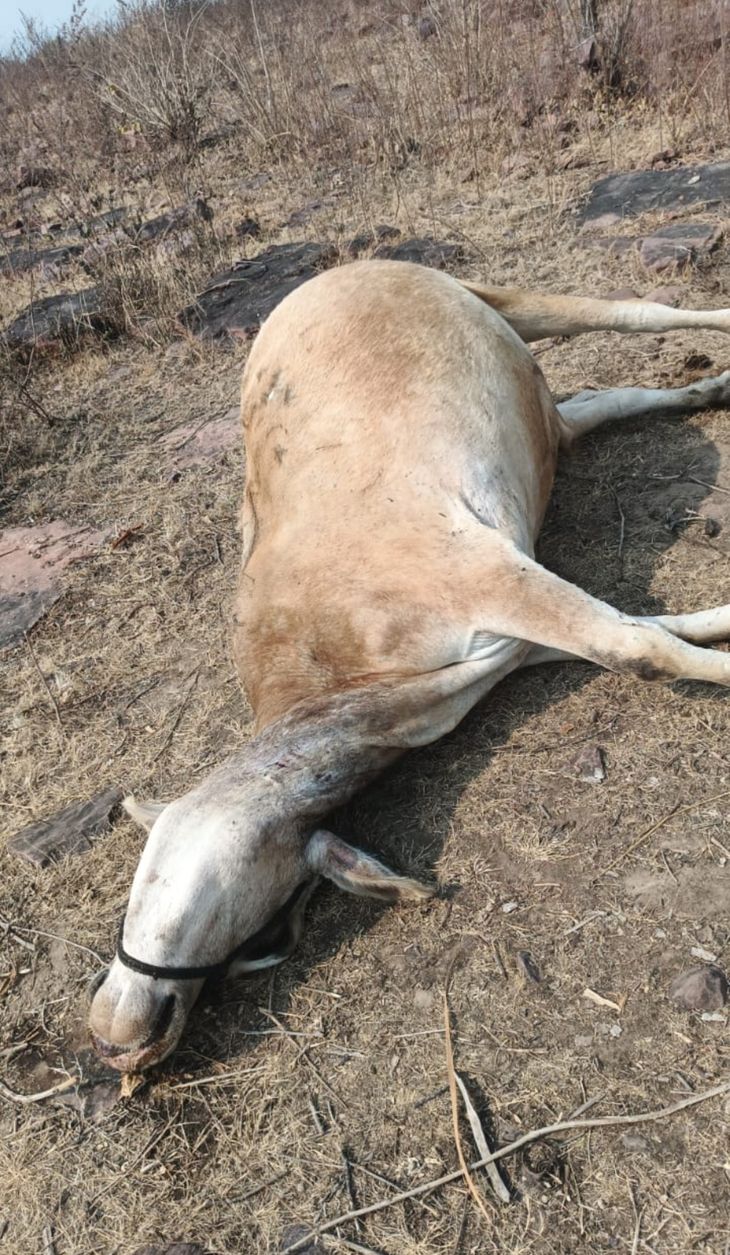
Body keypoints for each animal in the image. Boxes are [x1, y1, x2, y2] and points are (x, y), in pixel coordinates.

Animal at [89, 260, 730, 1072]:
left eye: (161, 883)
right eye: (274, 936)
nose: (116, 1036)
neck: (348, 681)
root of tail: (321, 279)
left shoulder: (478, 570)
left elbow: (639, 649)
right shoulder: (502, 648)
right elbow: (651, 632)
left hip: (485, 295)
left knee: (634, 313)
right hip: (535, 399)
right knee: (587, 407)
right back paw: (707, 390)